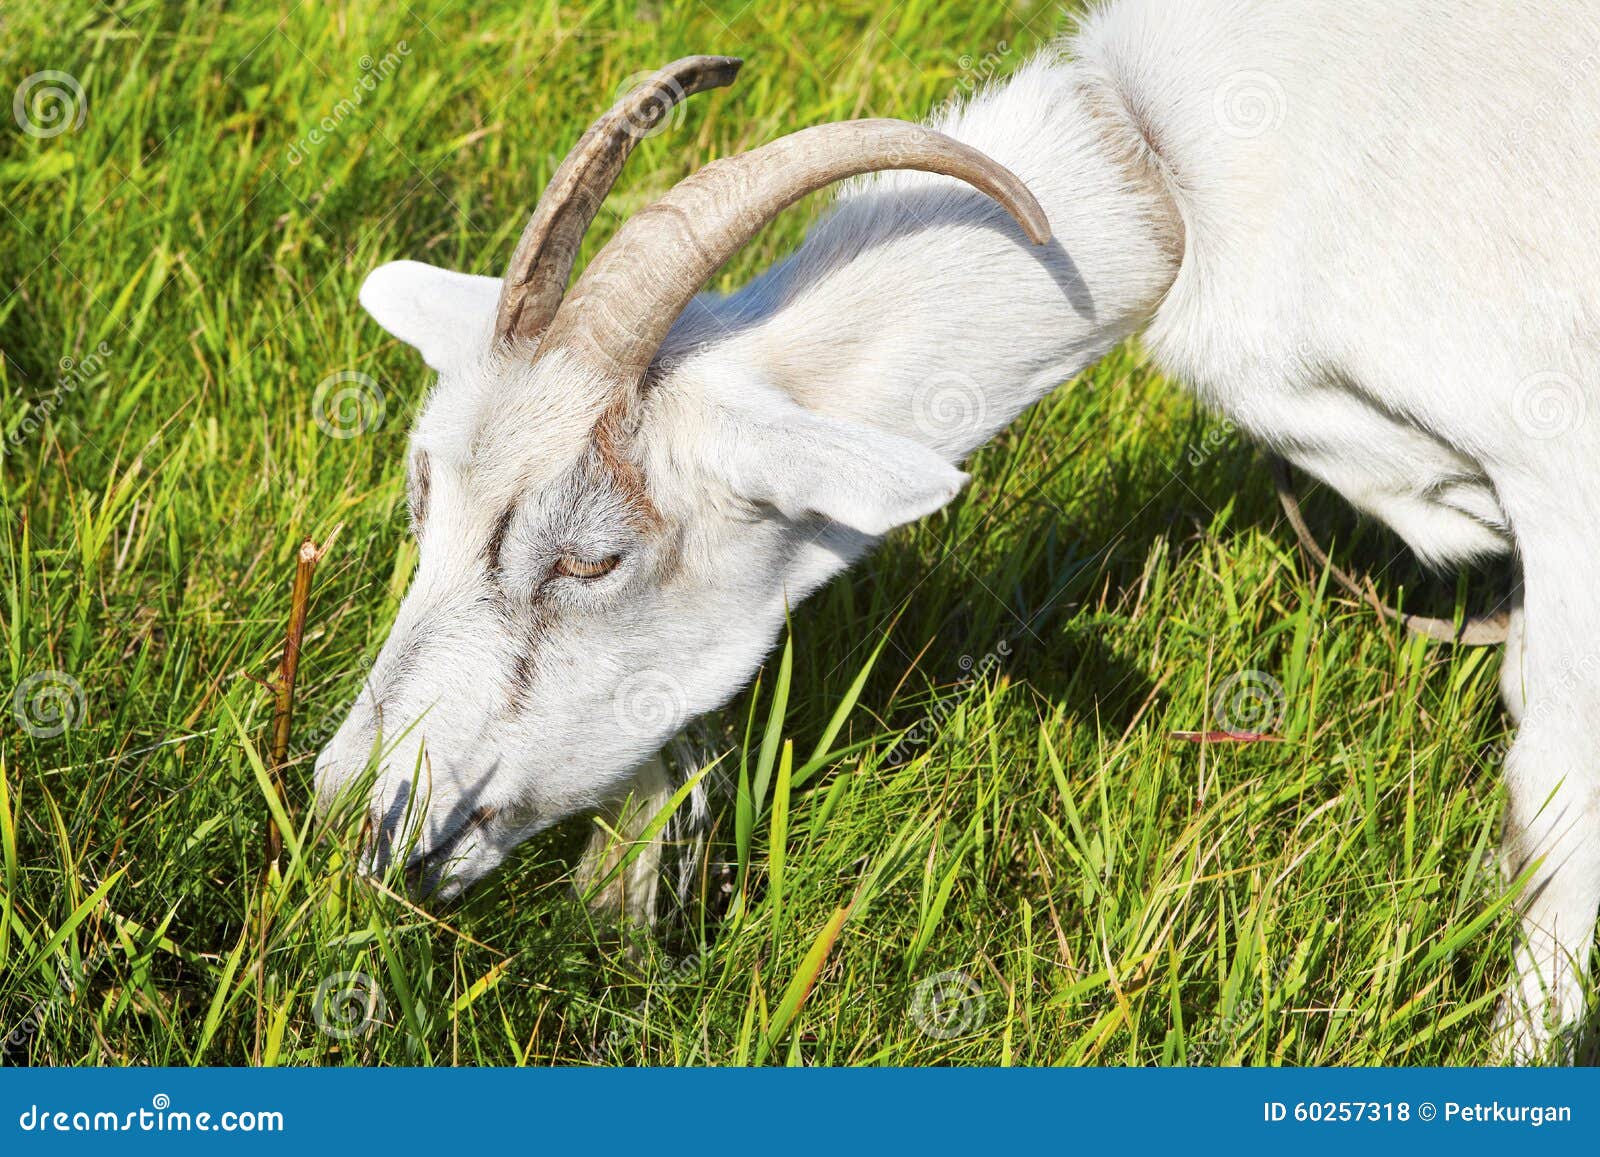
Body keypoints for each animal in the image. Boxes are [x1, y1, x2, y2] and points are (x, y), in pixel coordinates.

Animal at [316, 0, 1600, 1063]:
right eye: (425, 505)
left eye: (592, 557)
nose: (352, 810)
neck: (1166, 167)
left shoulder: (1562, 471)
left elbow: (1551, 803)